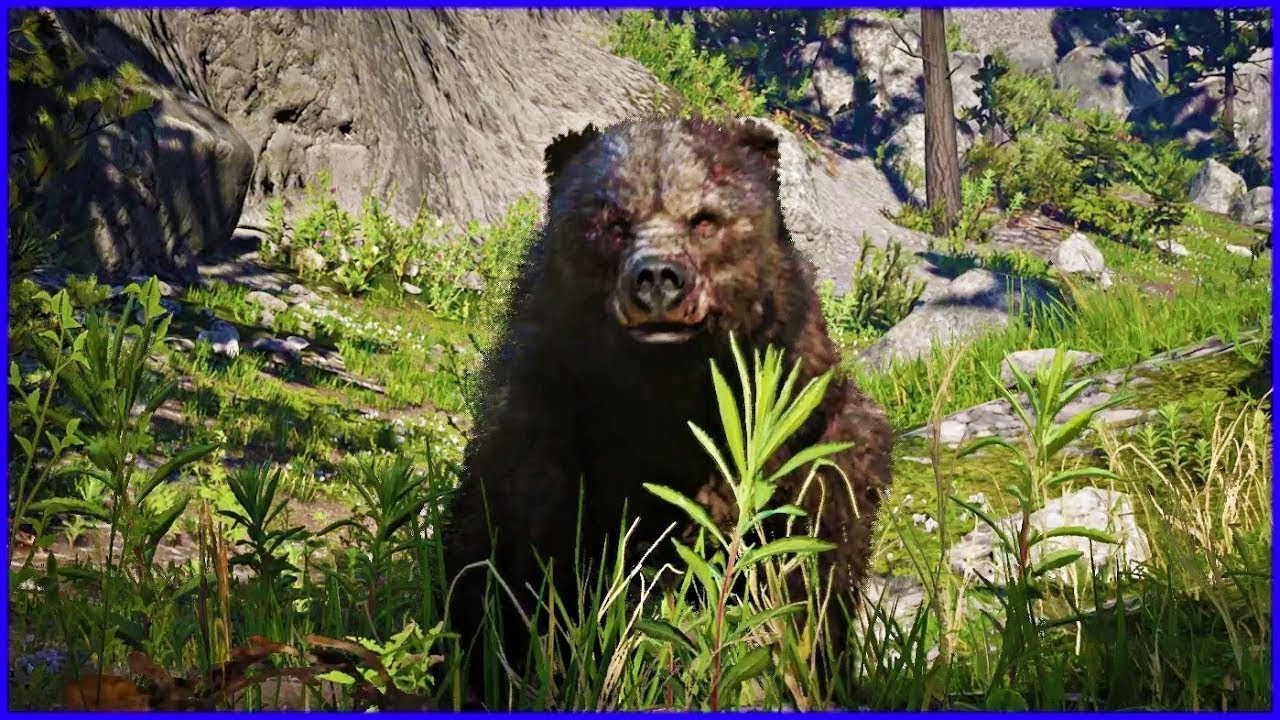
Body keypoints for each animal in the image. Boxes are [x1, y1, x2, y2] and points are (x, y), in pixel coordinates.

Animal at [440, 115, 894, 702]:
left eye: (704, 218)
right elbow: (512, 557)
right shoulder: (545, 422)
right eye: (612, 221)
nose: (657, 278)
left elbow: (808, 565)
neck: (663, 396)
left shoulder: (802, 445)